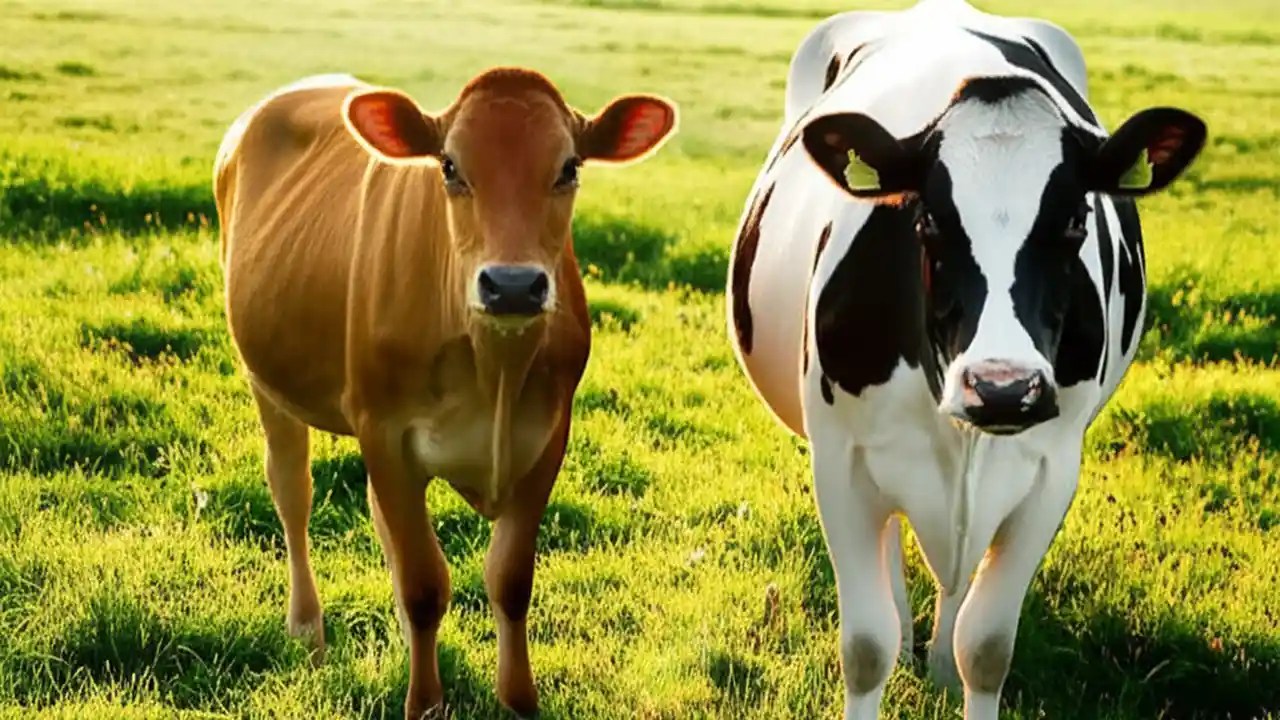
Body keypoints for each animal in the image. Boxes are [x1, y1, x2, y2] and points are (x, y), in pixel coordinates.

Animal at [214, 68, 677, 718]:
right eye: (451, 167)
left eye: (569, 168)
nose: (513, 285)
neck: (494, 372)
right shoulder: (383, 433)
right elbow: (423, 585)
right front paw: (425, 703)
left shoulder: (548, 438)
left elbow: (509, 579)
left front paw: (519, 700)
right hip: (266, 382)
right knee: (292, 493)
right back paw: (307, 629)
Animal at [726, 1, 1205, 718]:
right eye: (928, 219)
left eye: (1073, 219)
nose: (1002, 388)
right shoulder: (839, 460)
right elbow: (866, 646)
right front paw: (889, 653)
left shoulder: (1050, 469)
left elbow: (985, 648)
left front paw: (957, 670)